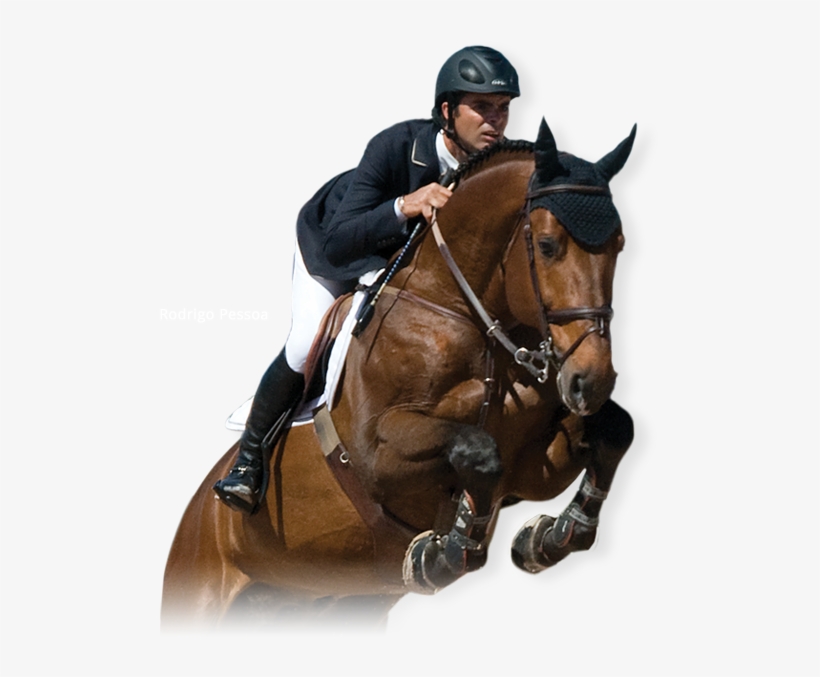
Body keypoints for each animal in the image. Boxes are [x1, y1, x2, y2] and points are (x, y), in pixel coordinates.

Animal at [161, 118, 636, 627]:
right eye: (547, 246)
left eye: (620, 247)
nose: (592, 380)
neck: (464, 313)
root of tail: (195, 513)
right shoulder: (377, 454)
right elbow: (479, 450)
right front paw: (444, 553)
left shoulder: (532, 466)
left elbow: (615, 429)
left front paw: (549, 536)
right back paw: (240, 481)